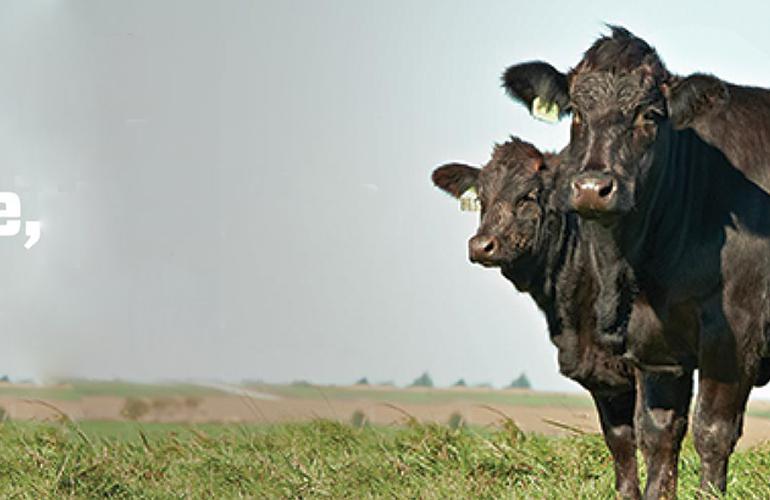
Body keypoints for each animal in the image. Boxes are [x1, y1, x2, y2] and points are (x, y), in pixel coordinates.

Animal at [501, 26, 770, 497]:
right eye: (576, 113)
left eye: (649, 115)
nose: (593, 187)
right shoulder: (655, 347)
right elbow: (658, 434)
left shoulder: (737, 333)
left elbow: (713, 432)